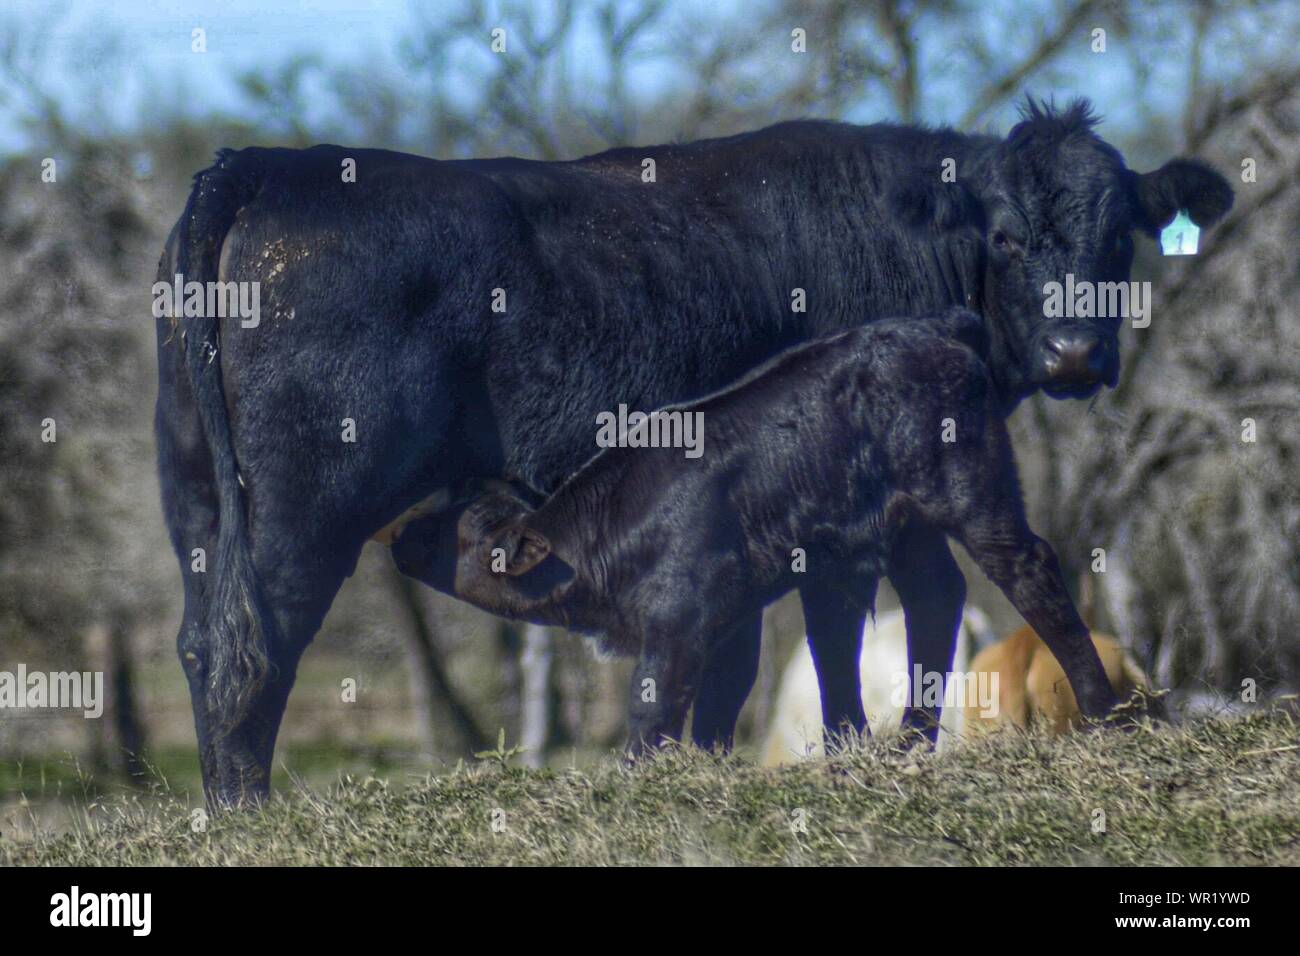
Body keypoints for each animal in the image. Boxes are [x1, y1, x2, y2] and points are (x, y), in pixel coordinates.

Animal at [155, 98, 1233, 805]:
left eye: (1119, 238)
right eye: (1007, 237)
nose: (1074, 353)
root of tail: (268, 163)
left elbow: (774, 648)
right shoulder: (840, 504)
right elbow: (831, 633)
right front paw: (849, 753)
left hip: (200, 499)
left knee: (205, 641)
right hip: (304, 514)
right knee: (257, 650)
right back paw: (250, 811)